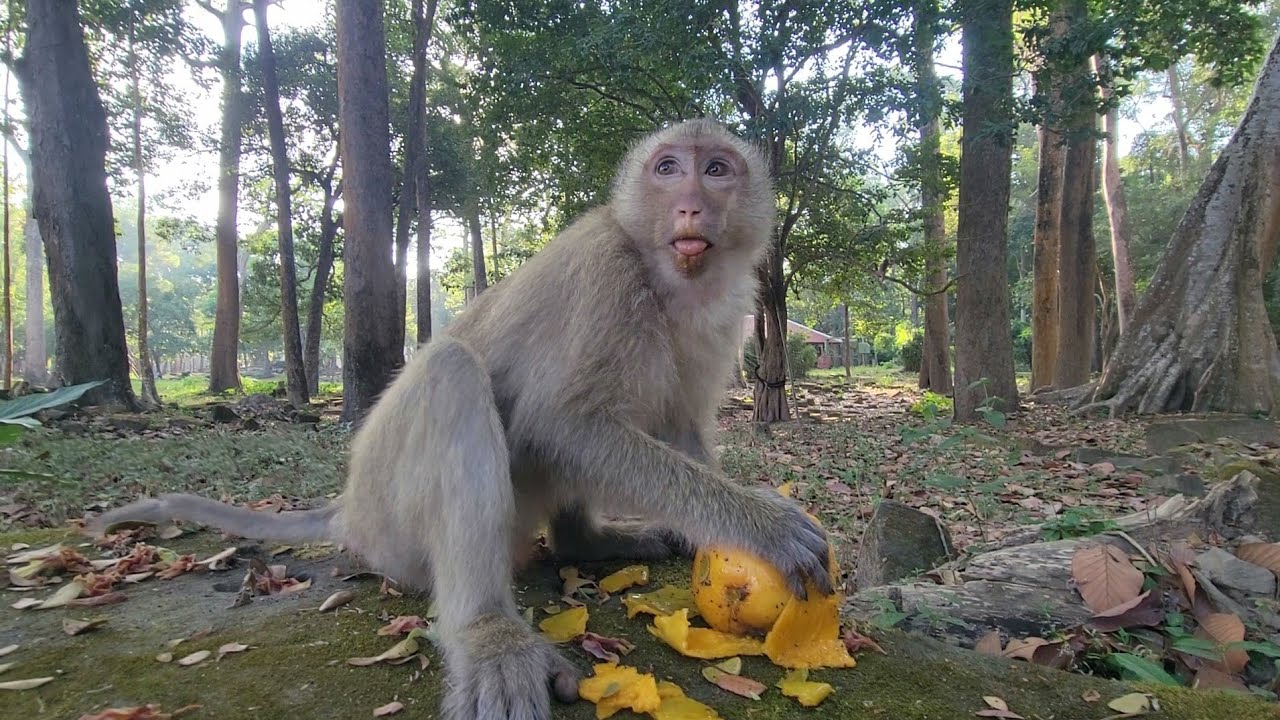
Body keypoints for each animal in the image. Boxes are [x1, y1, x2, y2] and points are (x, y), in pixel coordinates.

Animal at [88, 119, 834, 720]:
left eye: (718, 170)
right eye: (669, 167)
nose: (689, 204)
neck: (666, 282)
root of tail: (349, 509)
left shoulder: (725, 314)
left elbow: (677, 422)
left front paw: (716, 526)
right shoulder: (606, 276)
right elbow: (560, 425)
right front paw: (763, 523)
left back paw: (586, 542)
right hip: (393, 525)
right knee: (452, 376)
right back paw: (490, 638)